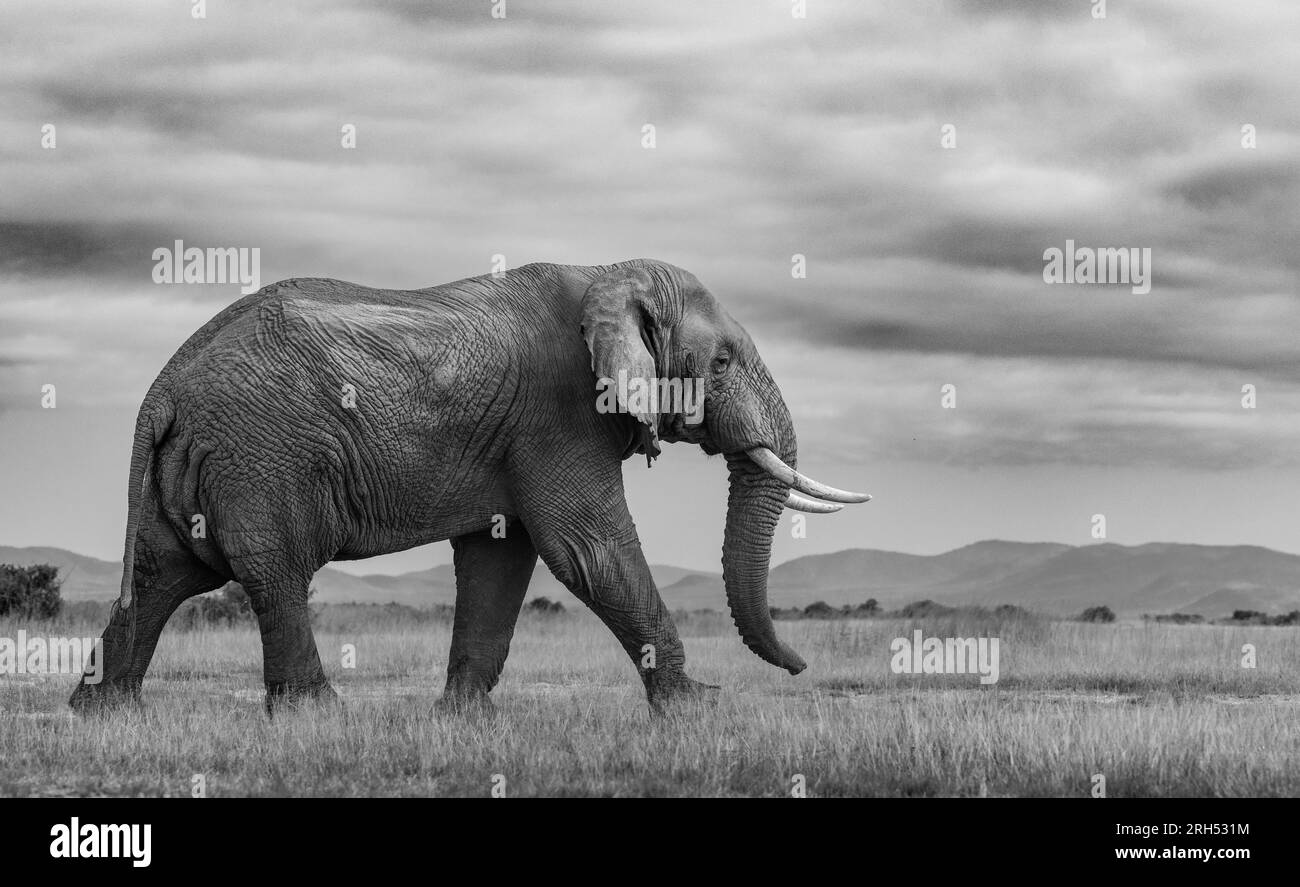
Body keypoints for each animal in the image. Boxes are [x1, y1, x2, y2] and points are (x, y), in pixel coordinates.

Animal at [69, 259, 870, 715]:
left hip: (204, 464)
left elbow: (501, 557)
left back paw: (100, 712)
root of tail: (164, 387)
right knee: (274, 573)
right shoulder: (560, 410)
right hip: (260, 455)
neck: (607, 273)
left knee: (161, 574)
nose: (802, 667)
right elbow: (587, 549)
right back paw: (318, 716)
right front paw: (696, 710)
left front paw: (462, 720)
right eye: (725, 362)